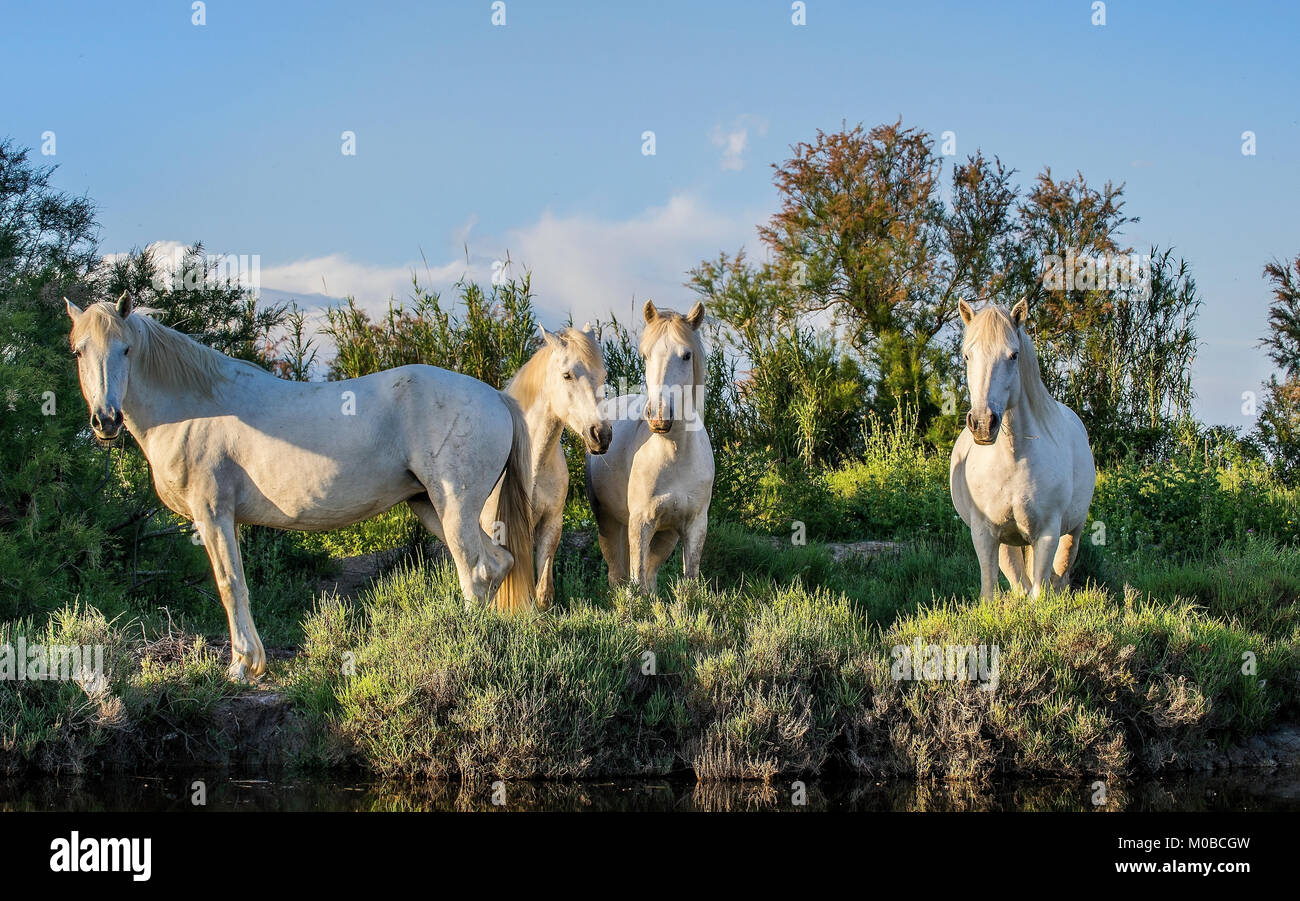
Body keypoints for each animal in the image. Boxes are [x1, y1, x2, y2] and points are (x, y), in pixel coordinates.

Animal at [65, 294, 535, 680]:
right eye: (79, 350)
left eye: (126, 349)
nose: (105, 420)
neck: (196, 408)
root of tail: (495, 398)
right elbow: (237, 583)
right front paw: (251, 662)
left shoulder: (212, 514)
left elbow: (229, 584)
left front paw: (242, 667)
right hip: (430, 506)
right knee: (498, 563)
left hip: (454, 507)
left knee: (476, 571)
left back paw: (467, 646)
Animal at [486, 324, 611, 608]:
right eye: (567, 375)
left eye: (603, 375)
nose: (601, 435)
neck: (533, 465)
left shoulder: (551, 522)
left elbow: (543, 587)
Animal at [585, 300, 714, 592]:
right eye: (645, 355)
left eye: (686, 355)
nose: (658, 416)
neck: (675, 454)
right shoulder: (641, 523)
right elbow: (638, 583)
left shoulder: (694, 526)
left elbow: (688, 583)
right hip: (609, 522)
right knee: (618, 574)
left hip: (664, 535)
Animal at [949, 298, 1097, 599]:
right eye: (968, 356)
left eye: (1013, 355)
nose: (982, 423)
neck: (1013, 458)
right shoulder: (985, 533)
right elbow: (990, 592)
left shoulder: (1048, 533)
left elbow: (1039, 593)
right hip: (1009, 540)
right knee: (1019, 582)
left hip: (1072, 531)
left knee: (1061, 573)